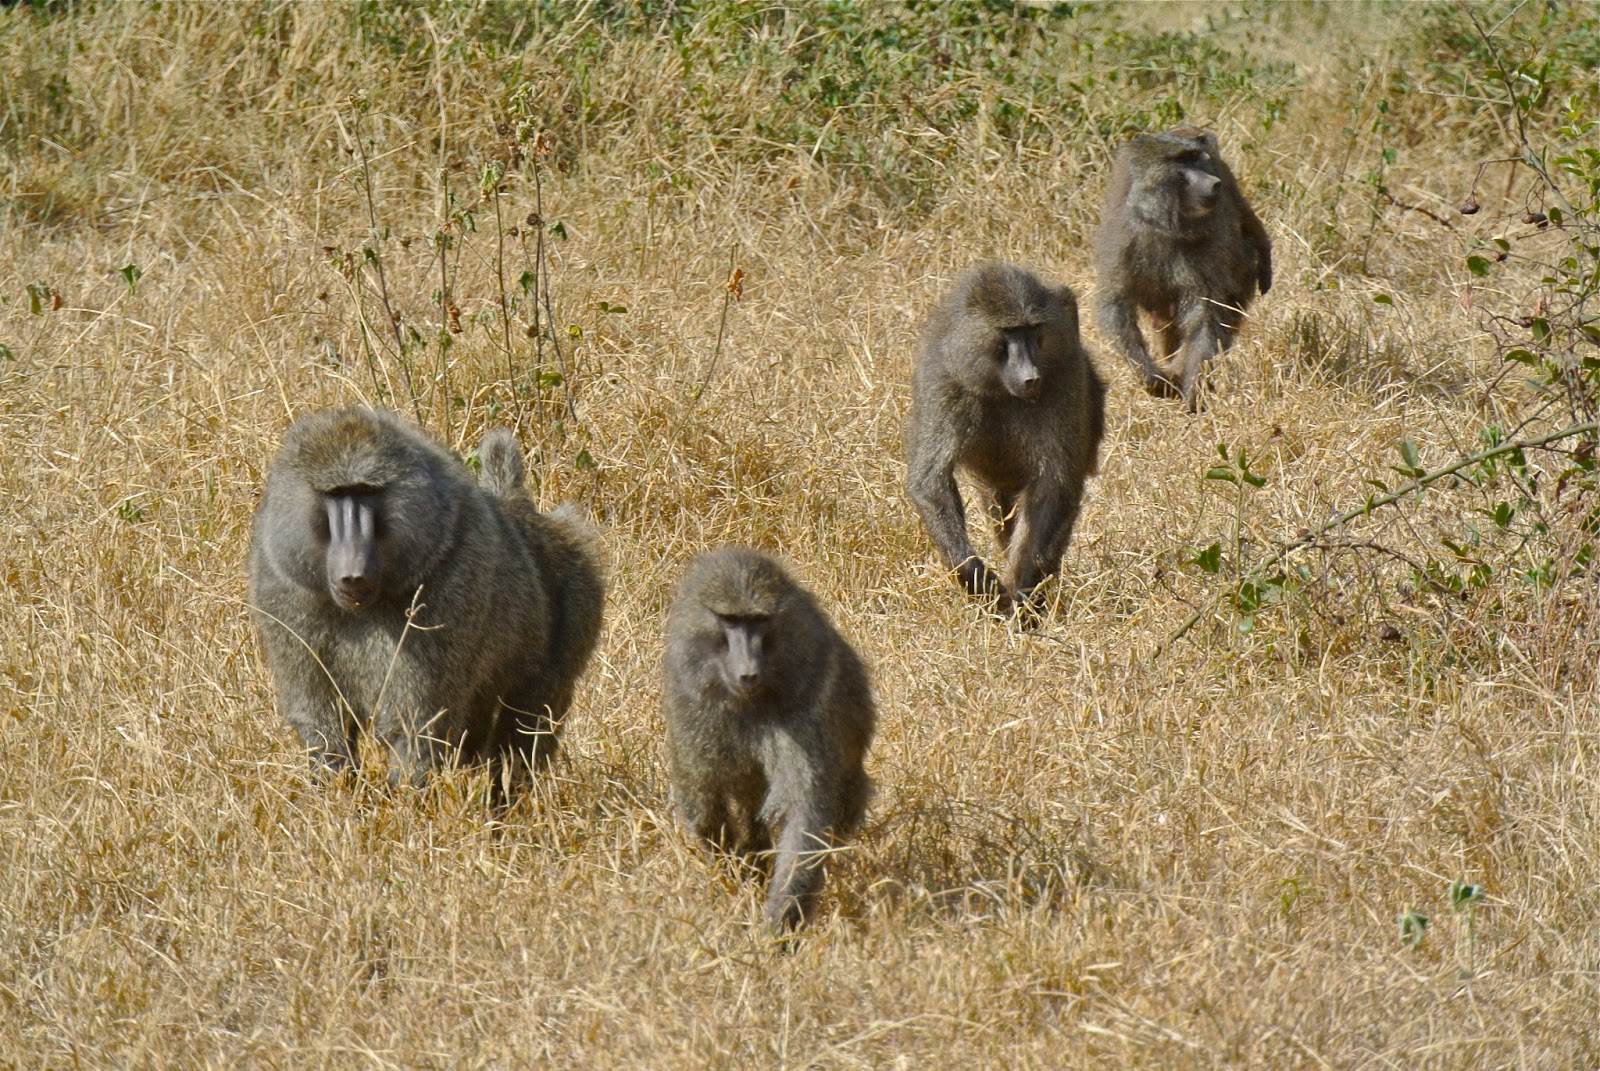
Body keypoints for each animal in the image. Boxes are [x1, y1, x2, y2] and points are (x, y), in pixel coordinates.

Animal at [247, 407, 604, 790]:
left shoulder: (449, 591)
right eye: (336, 494)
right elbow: (322, 721)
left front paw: (404, 803)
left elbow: (416, 726)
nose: (352, 573)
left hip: (575, 608)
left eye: (366, 491)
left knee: (528, 720)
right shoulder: (283, 588)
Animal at [662, 547, 875, 933]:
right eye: (730, 620)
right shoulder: (689, 701)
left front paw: (779, 924)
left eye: (759, 620)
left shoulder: (808, 705)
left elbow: (804, 812)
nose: (748, 672)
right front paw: (736, 877)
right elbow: (704, 806)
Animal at [905, 261, 1107, 613]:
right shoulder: (945, 387)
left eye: (1033, 329)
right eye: (1009, 332)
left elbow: (1057, 485)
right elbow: (930, 480)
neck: (999, 388)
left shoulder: (1065, 384)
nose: (1031, 378)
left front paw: (1024, 596)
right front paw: (976, 578)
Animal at [1095, 125, 1272, 411]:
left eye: (1194, 158)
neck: (1164, 226)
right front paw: (1149, 375)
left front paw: (1193, 392)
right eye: (1180, 162)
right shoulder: (1124, 241)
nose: (1213, 183)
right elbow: (1115, 304)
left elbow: (1205, 319)